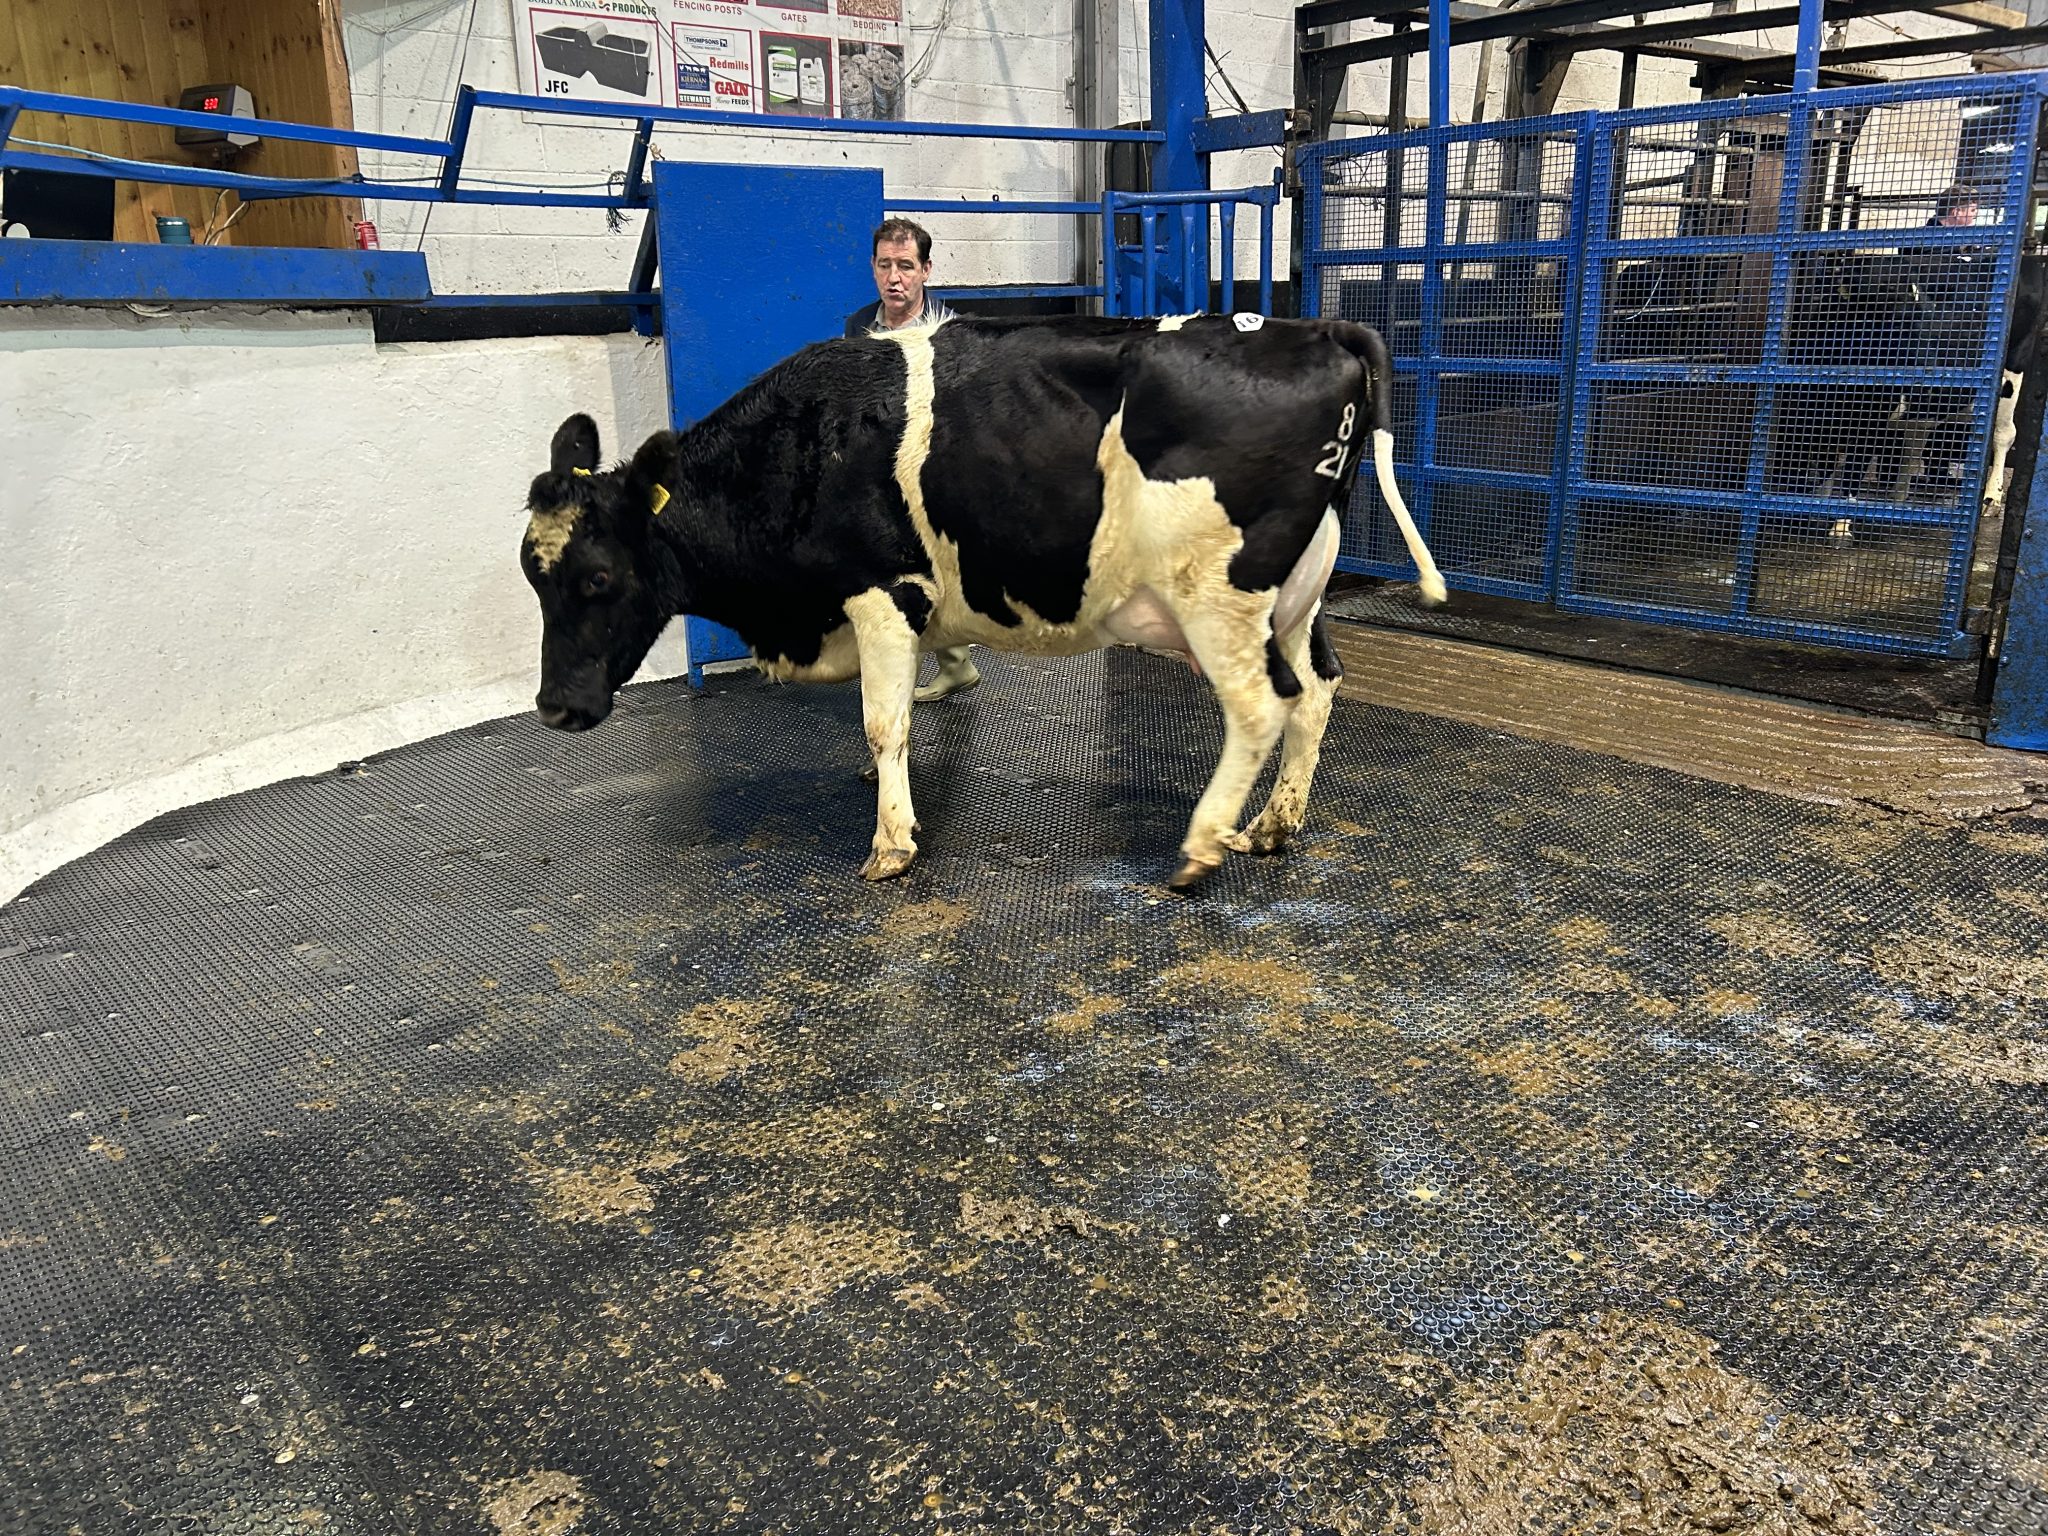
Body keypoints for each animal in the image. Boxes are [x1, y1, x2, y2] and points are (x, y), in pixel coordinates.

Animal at [519, 313, 1445, 891]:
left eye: (596, 579)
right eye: (532, 573)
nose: (556, 708)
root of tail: (1315, 329)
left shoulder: (881, 591)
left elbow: (881, 720)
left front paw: (892, 842)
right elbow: (902, 709)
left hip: (1217, 594)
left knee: (1258, 707)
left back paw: (1199, 848)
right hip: (1300, 596)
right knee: (1317, 691)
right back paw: (1275, 827)